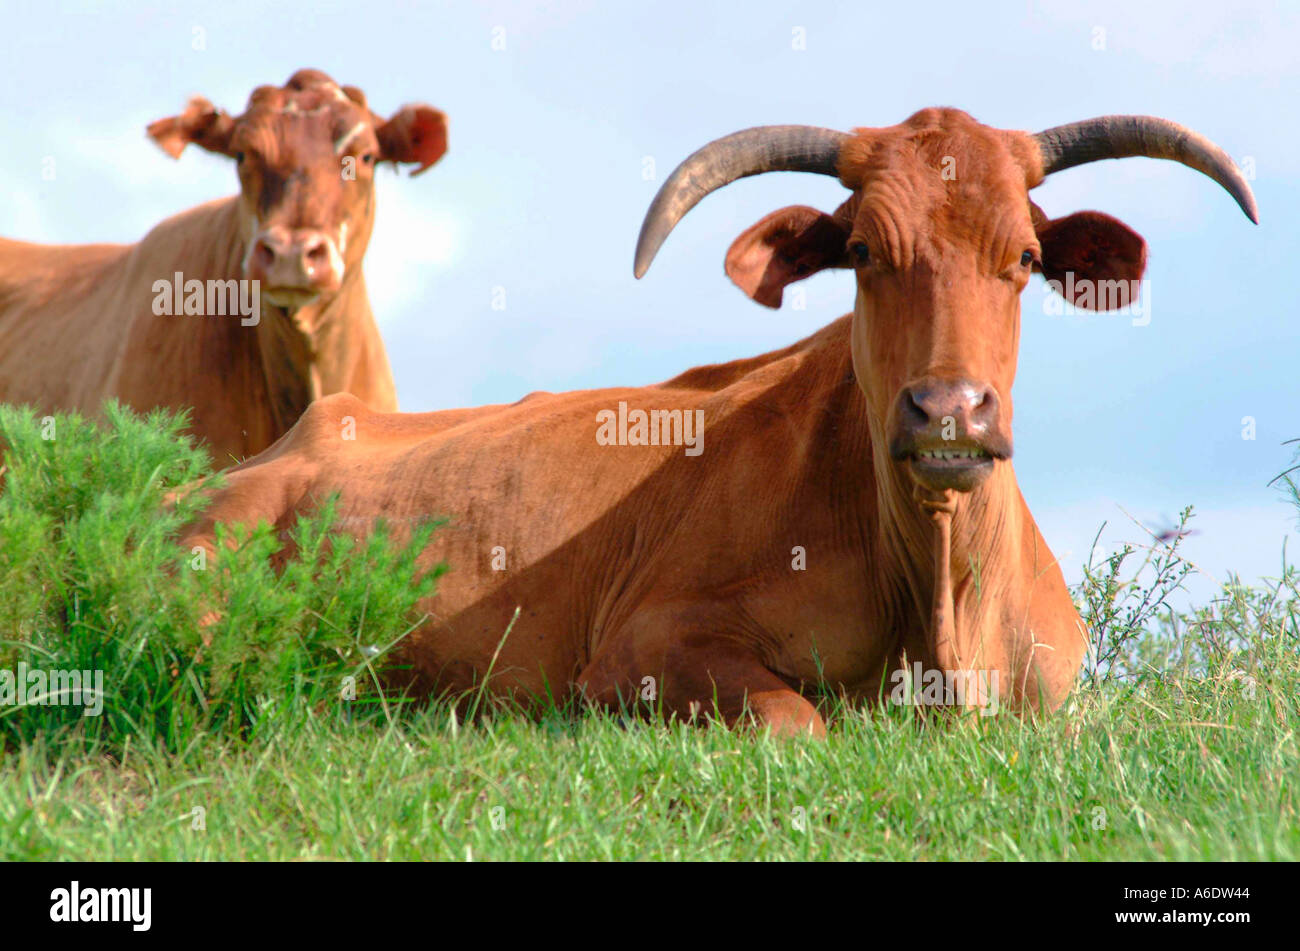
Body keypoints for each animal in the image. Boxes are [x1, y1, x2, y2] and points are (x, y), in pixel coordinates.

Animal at [178, 109, 1256, 736]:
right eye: (861, 251)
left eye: (1025, 256)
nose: (947, 409)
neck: (941, 608)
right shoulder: (640, 646)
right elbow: (800, 722)